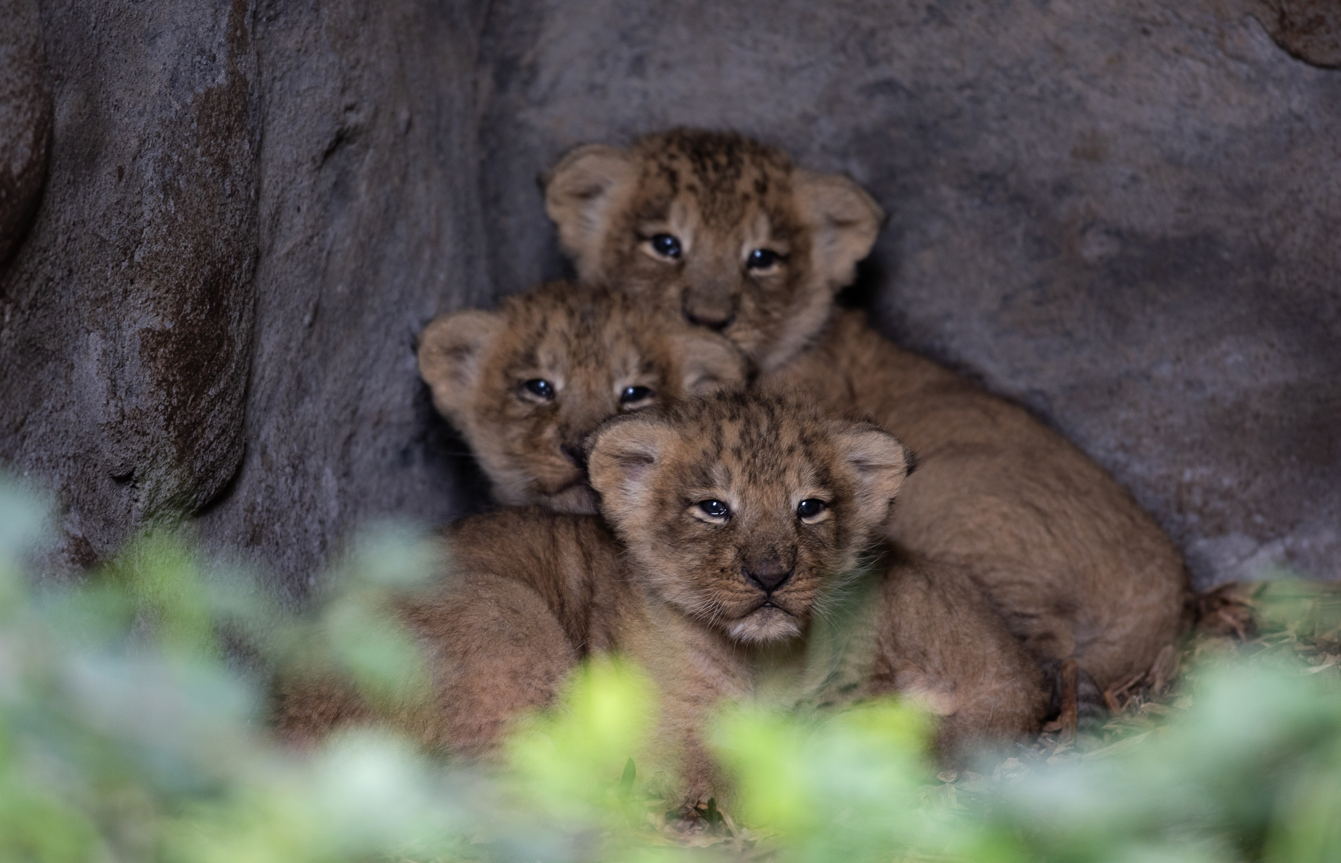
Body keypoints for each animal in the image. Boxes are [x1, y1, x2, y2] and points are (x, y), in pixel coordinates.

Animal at [274, 394, 1048, 804]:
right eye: (713, 508)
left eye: (809, 507)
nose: (770, 576)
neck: (765, 661)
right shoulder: (655, 734)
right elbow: (730, 760)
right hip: (502, 619)